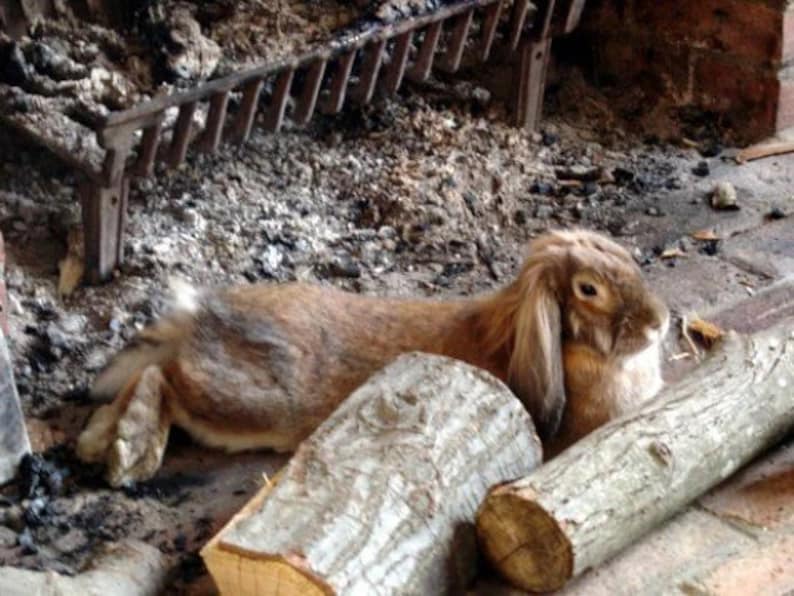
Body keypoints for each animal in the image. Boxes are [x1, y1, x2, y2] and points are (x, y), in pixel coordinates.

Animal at [77, 229, 669, 486]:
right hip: (247, 401)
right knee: (164, 378)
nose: (660, 322)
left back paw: (97, 440)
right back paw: (130, 451)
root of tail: (199, 312)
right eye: (589, 289)